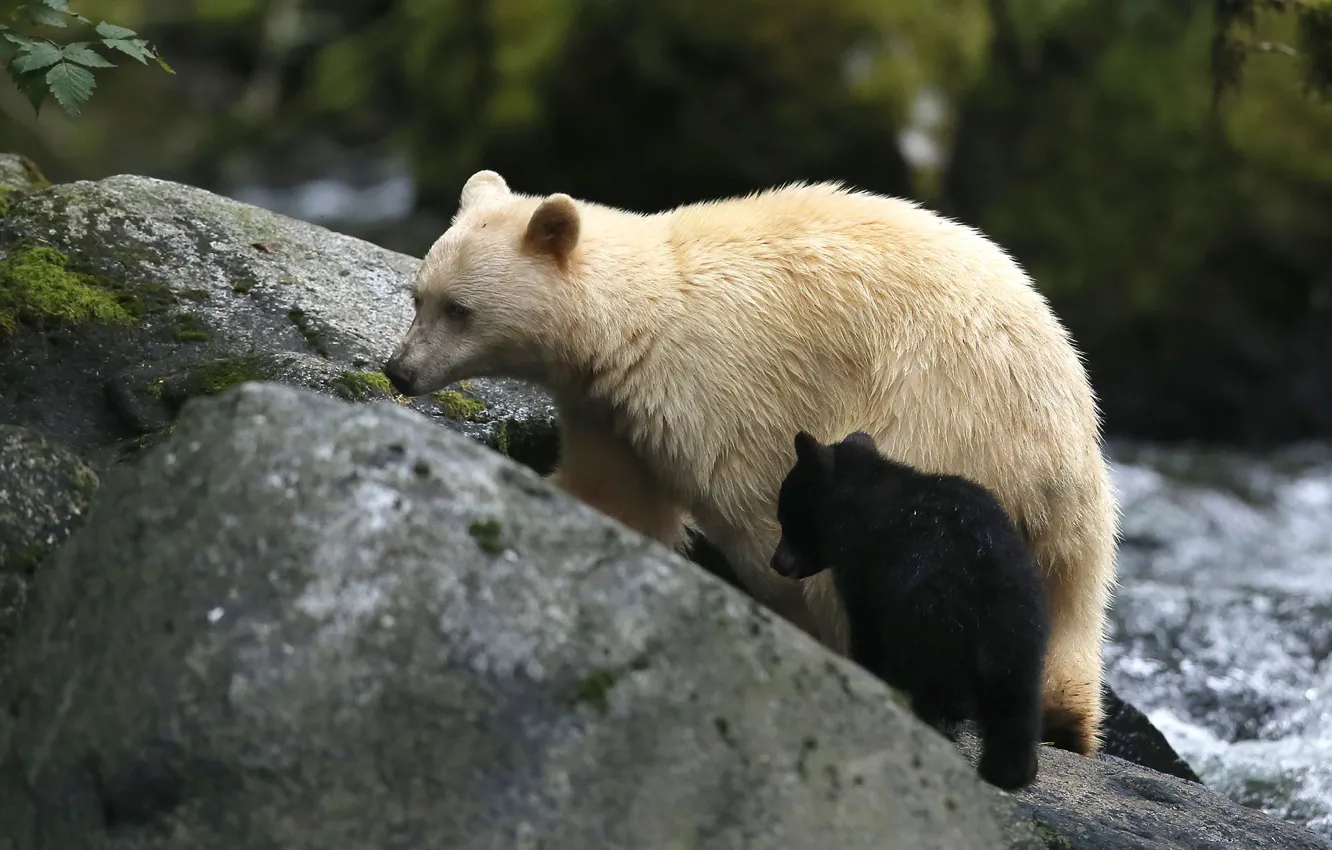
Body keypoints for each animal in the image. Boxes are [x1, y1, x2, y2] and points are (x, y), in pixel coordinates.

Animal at [770, 429, 1051, 790]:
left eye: (784, 515)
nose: (776, 562)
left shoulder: (867, 571)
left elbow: (866, 630)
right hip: (1023, 633)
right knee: (1017, 704)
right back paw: (1009, 771)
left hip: (930, 623)